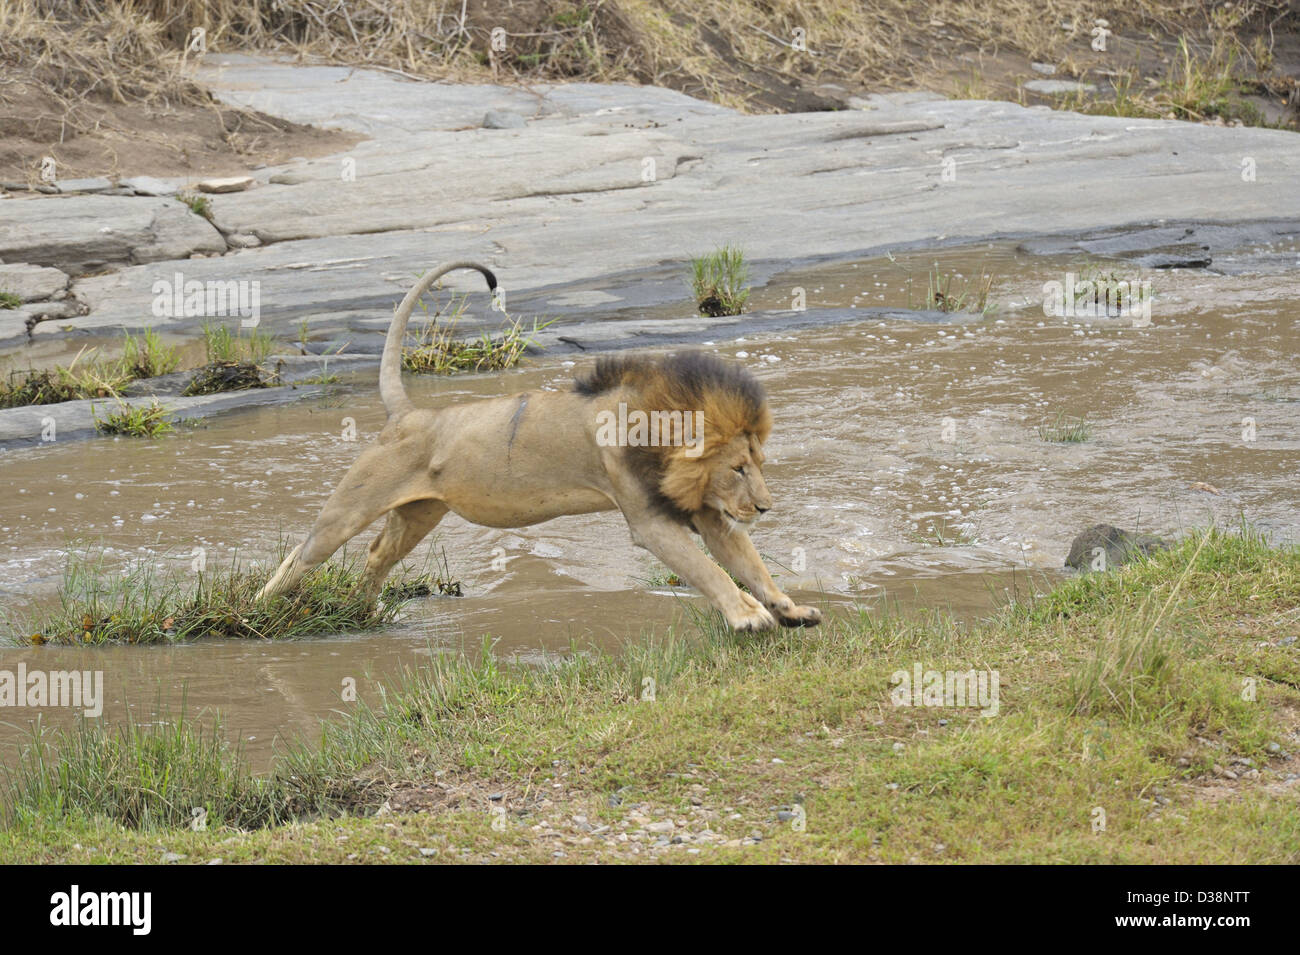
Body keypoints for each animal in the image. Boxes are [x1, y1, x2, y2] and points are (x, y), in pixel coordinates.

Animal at [256, 261, 821, 632]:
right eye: (738, 468)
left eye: (757, 464)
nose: (765, 508)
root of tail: (408, 413)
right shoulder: (650, 520)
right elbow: (710, 571)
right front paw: (747, 616)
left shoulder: (706, 510)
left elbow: (750, 565)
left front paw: (789, 609)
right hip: (351, 507)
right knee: (303, 555)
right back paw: (257, 612)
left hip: (419, 514)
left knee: (377, 555)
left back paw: (363, 612)